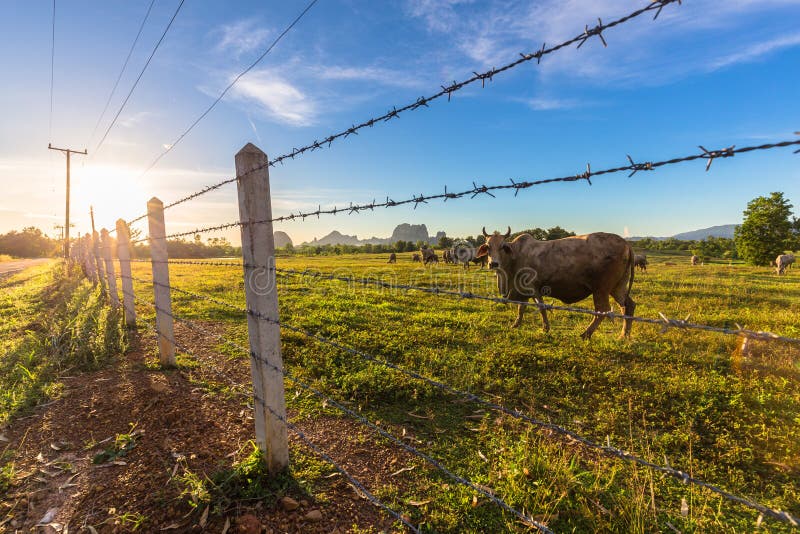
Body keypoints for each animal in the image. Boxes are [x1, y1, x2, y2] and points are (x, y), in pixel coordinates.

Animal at [477, 227, 636, 339]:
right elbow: (521, 308)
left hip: (601, 289)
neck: (515, 256)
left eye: (502, 247)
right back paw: (624, 335)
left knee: (602, 311)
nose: (493, 264)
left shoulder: (533, 287)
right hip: (618, 287)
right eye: (488, 246)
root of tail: (626, 244)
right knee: (627, 306)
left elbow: (541, 308)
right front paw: (516, 324)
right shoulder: (523, 290)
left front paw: (545, 328)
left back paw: (586, 334)